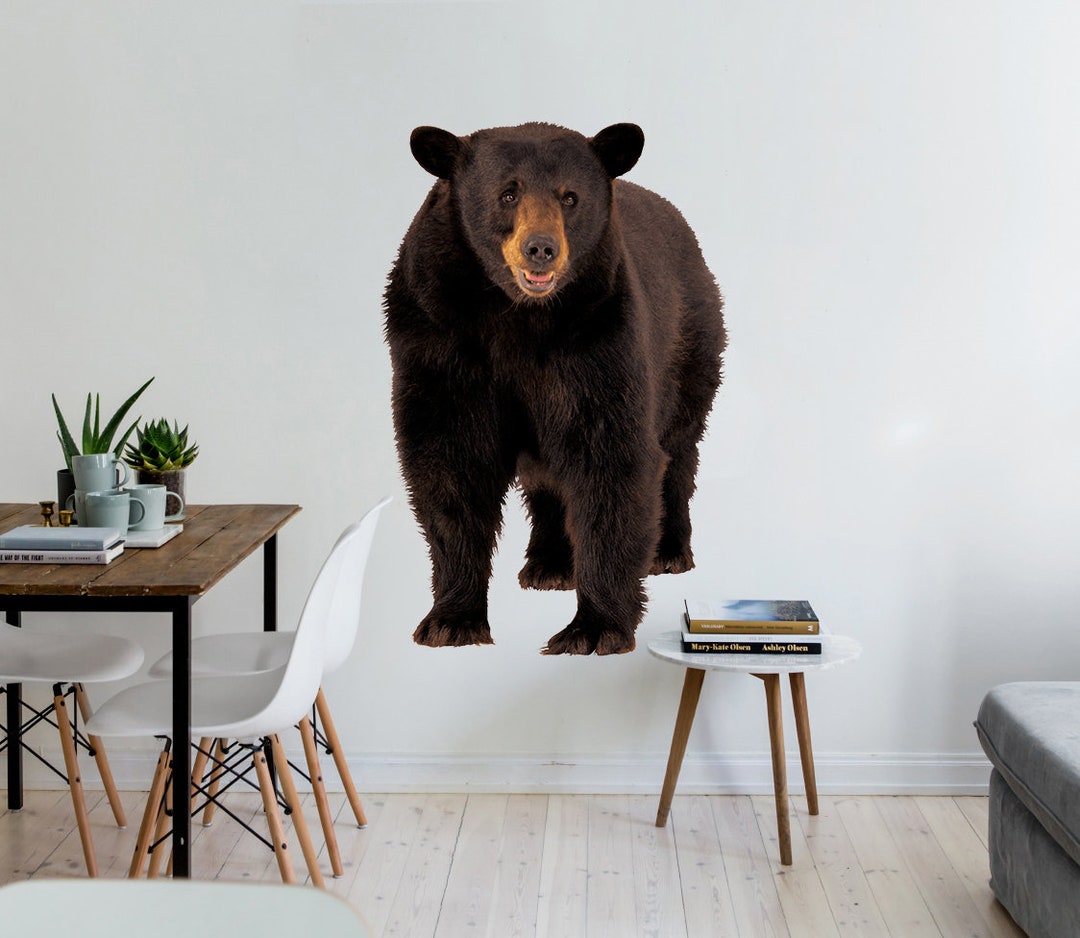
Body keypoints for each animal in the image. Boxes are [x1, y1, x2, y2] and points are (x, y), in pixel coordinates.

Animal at [384, 121, 725, 655]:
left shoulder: (600, 334)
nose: (540, 247)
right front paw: (451, 620)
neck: (516, 315)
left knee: (678, 447)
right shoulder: (435, 335)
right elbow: (450, 463)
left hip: (689, 344)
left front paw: (594, 627)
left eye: (570, 197)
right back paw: (550, 565)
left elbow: (612, 456)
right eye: (507, 193)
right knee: (546, 477)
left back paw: (668, 550)